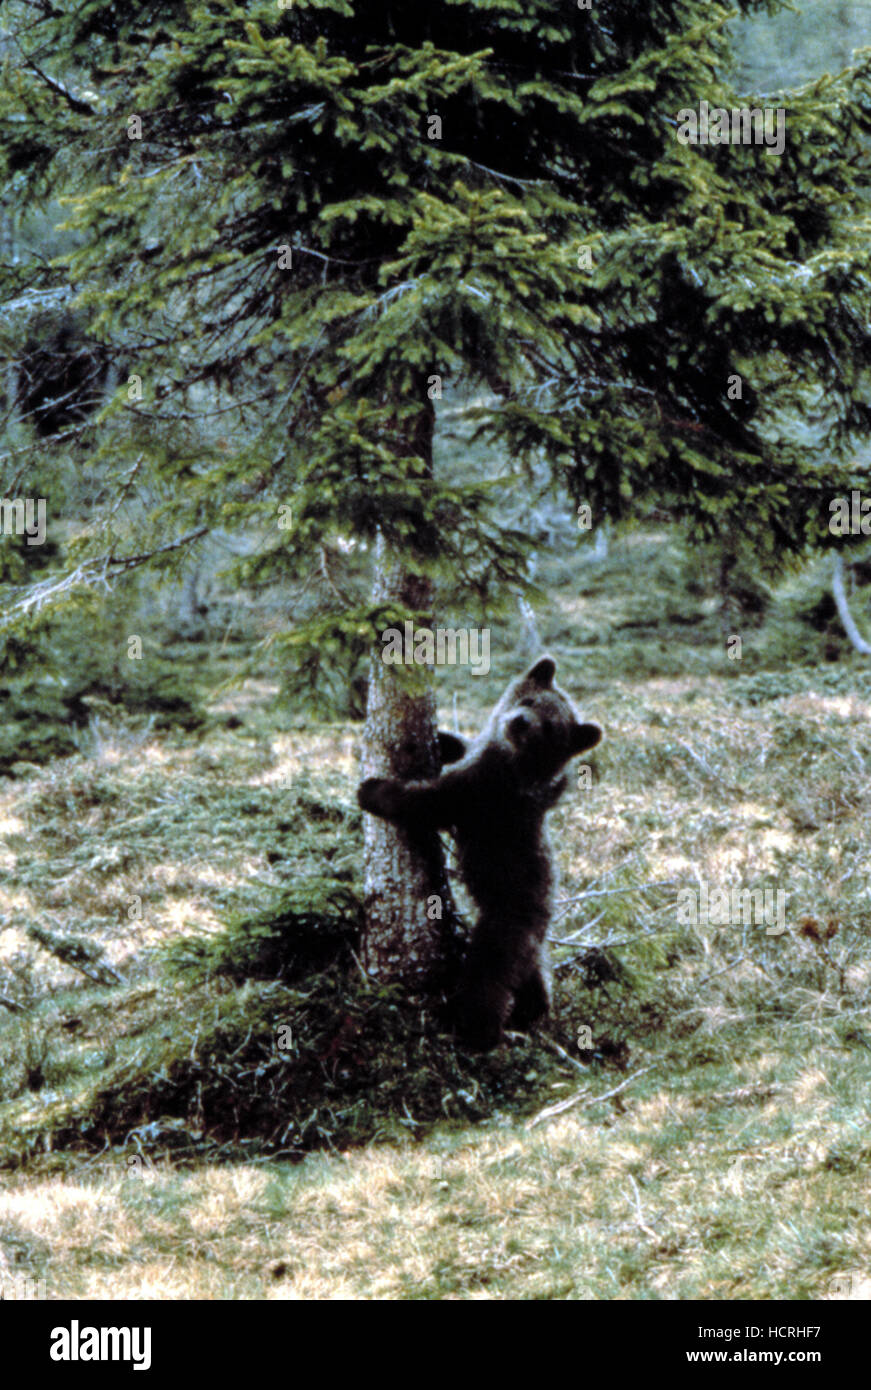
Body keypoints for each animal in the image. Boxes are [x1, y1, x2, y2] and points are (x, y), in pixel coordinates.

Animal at [357, 656, 602, 1050]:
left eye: (551, 727)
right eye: (530, 700)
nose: (519, 721)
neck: (508, 758)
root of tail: (546, 918)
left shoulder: (482, 793)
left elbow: (430, 801)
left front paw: (372, 789)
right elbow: (461, 748)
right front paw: (445, 739)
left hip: (504, 925)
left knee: (488, 979)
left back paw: (476, 1032)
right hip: (530, 945)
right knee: (533, 975)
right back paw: (532, 1010)